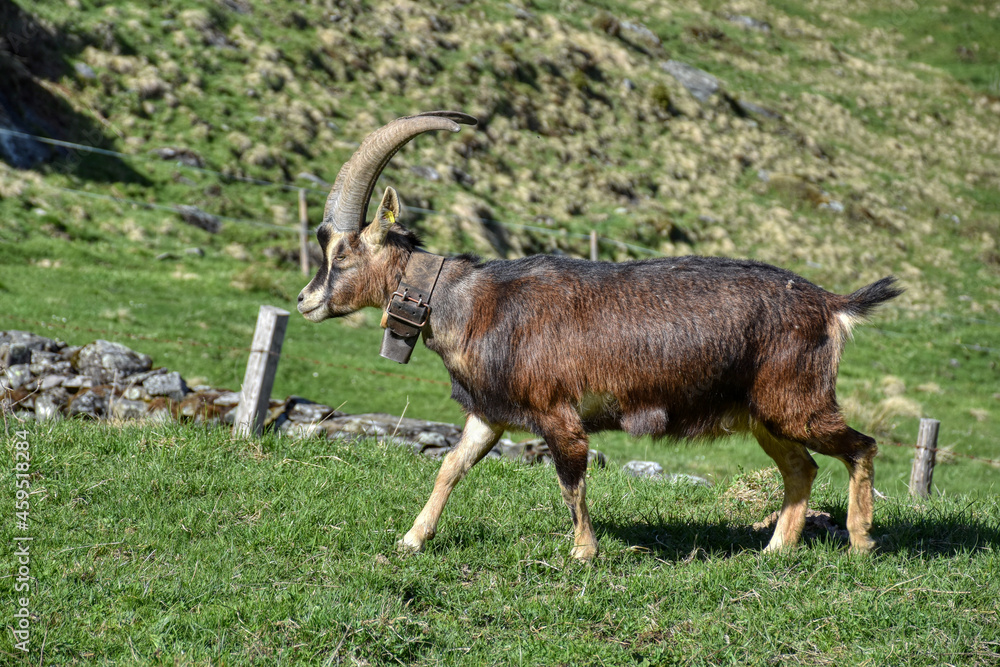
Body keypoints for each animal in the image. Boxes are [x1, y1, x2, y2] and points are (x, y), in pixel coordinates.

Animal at [297, 111, 902, 560]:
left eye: (342, 253)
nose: (305, 300)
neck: (471, 303)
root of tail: (831, 304)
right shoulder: (489, 412)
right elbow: (451, 466)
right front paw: (412, 538)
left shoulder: (556, 411)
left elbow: (571, 478)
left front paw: (583, 552)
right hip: (764, 412)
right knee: (802, 466)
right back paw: (776, 550)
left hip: (798, 400)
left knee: (861, 446)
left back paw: (860, 542)